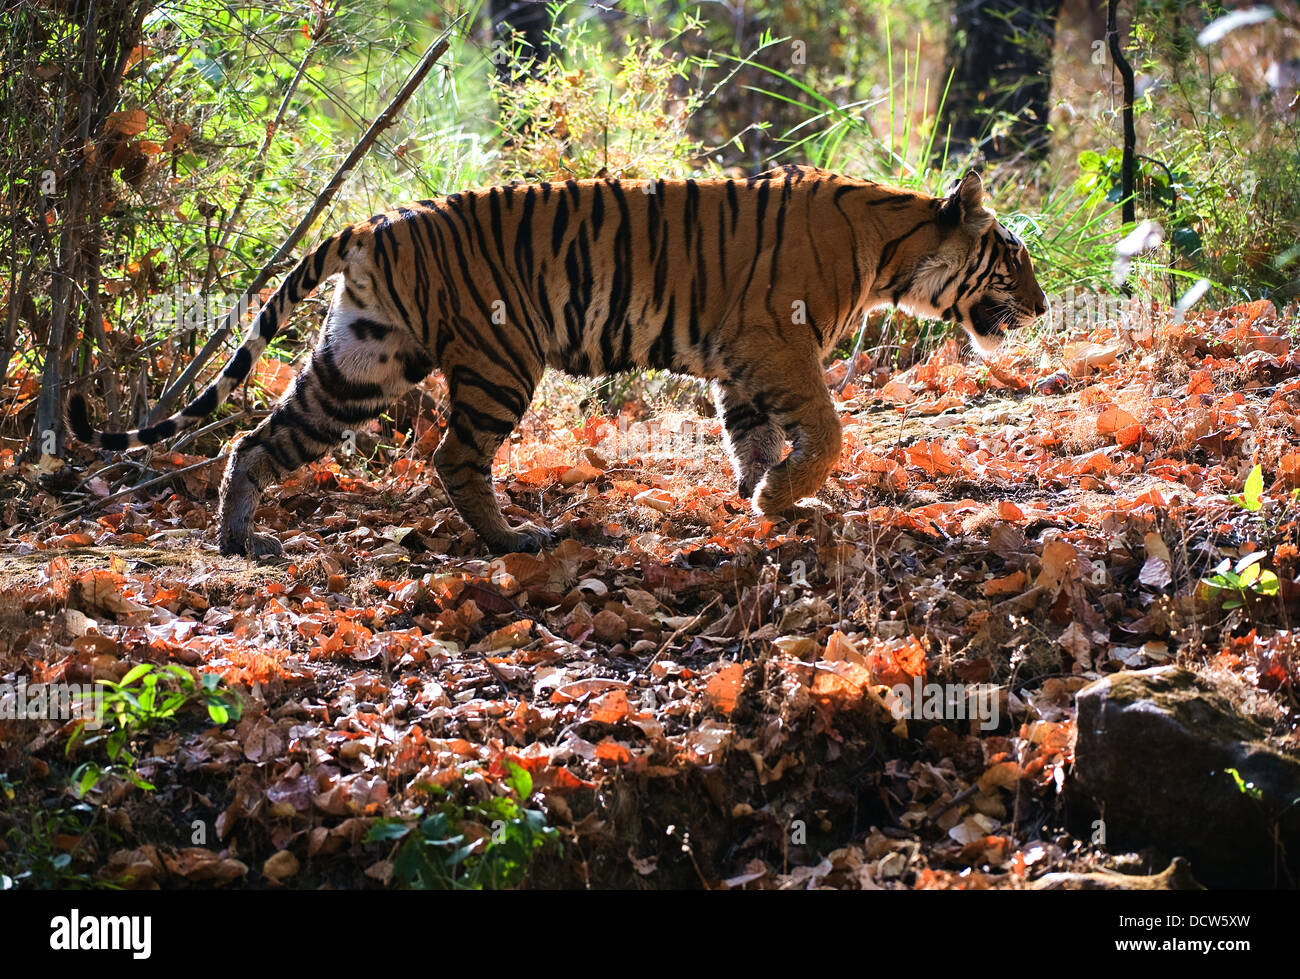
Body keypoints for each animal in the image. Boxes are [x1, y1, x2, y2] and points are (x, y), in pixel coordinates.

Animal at [68, 165, 1047, 557]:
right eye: (1014, 257)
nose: (1041, 307)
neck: (892, 250)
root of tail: (374, 221)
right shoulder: (777, 343)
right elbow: (826, 432)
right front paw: (782, 497)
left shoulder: (739, 363)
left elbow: (752, 436)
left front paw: (761, 501)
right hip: (500, 358)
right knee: (454, 455)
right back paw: (514, 540)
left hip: (363, 361)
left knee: (258, 441)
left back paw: (241, 539)